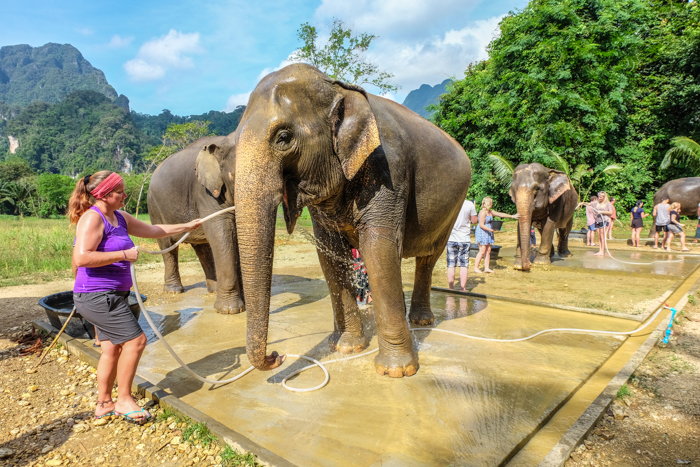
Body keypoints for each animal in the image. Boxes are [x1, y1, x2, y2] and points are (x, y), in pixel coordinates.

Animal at [147, 135, 245, 314]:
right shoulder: (205, 193)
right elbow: (222, 232)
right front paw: (230, 310)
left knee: (203, 248)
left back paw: (214, 290)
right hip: (154, 207)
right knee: (168, 247)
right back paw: (173, 291)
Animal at [196, 64, 471, 377]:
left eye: (283, 137)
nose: (277, 356)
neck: (340, 87)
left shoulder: (388, 168)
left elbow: (378, 249)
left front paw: (396, 371)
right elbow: (331, 255)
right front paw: (347, 347)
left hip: (454, 206)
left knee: (429, 257)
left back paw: (422, 322)